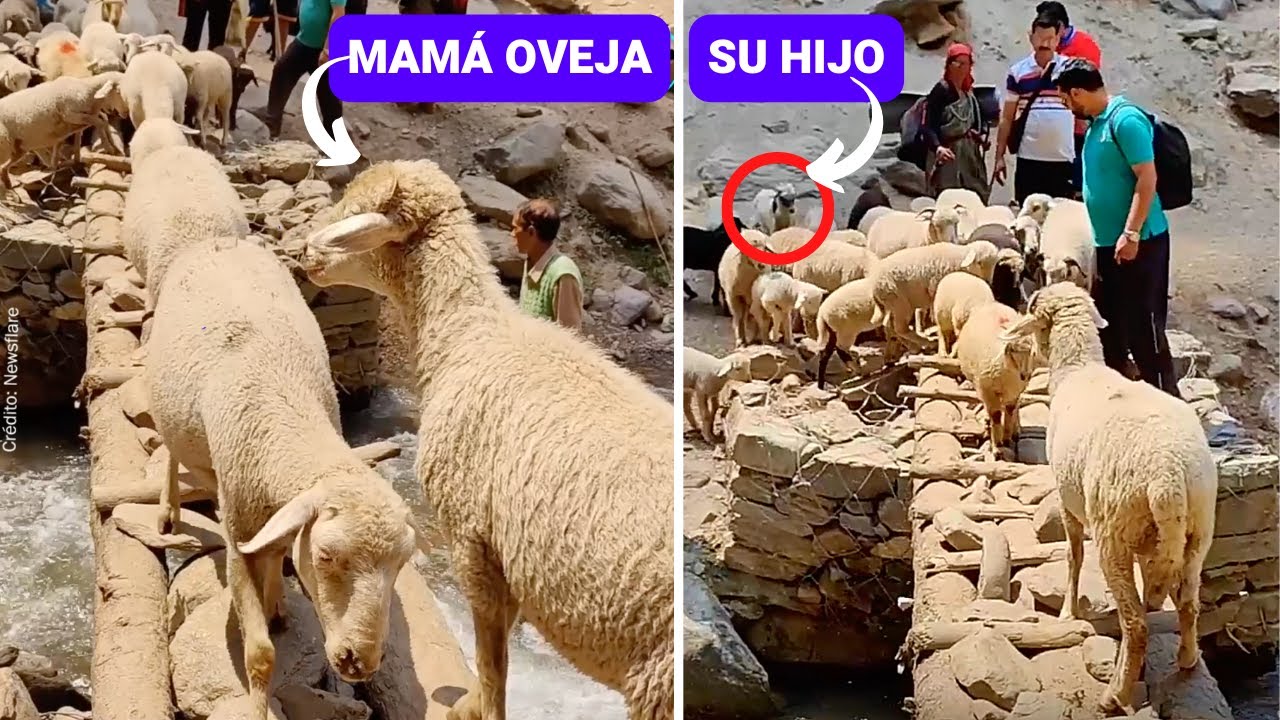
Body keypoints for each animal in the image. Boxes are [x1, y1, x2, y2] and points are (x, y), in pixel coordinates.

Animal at [148, 238, 427, 720]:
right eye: (327, 556)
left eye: (400, 564)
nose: (358, 662)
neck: (285, 406)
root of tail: (217, 239)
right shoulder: (238, 532)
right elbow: (259, 654)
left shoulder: (276, 508)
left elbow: (279, 548)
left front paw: (277, 603)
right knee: (168, 451)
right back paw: (168, 510)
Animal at [298, 160, 675, 720]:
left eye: (356, 211)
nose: (303, 252)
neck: (468, 338)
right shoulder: (505, 555)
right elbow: (502, 642)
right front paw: (472, 702)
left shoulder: (471, 537)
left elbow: (492, 654)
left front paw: (479, 706)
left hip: (659, 677)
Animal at [869, 240, 1001, 351]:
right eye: (979, 263)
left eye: (994, 264)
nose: (988, 281)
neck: (959, 259)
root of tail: (873, 286)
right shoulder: (935, 288)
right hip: (899, 302)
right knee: (900, 328)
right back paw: (926, 343)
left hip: (892, 302)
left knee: (890, 326)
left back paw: (912, 346)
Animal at [954, 300, 1039, 448]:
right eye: (1012, 350)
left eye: (1031, 352)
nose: (1026, 375)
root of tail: (993, 303)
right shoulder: (987, 391)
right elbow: (996, 415)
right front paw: (997, 445)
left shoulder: (1013, 390)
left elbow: (1010, 411)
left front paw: (1006, 439)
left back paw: (1015, 430)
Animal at [997, 282, 1216, 715]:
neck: (1078, 370)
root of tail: (1169, 477)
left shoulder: (1066, 497)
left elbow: (1073, 555)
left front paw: (1068, 612)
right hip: (1196, 531)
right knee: (1188, 602)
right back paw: (1186, 659)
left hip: (1115, 531)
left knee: (1137, 625)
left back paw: (1114, 694)